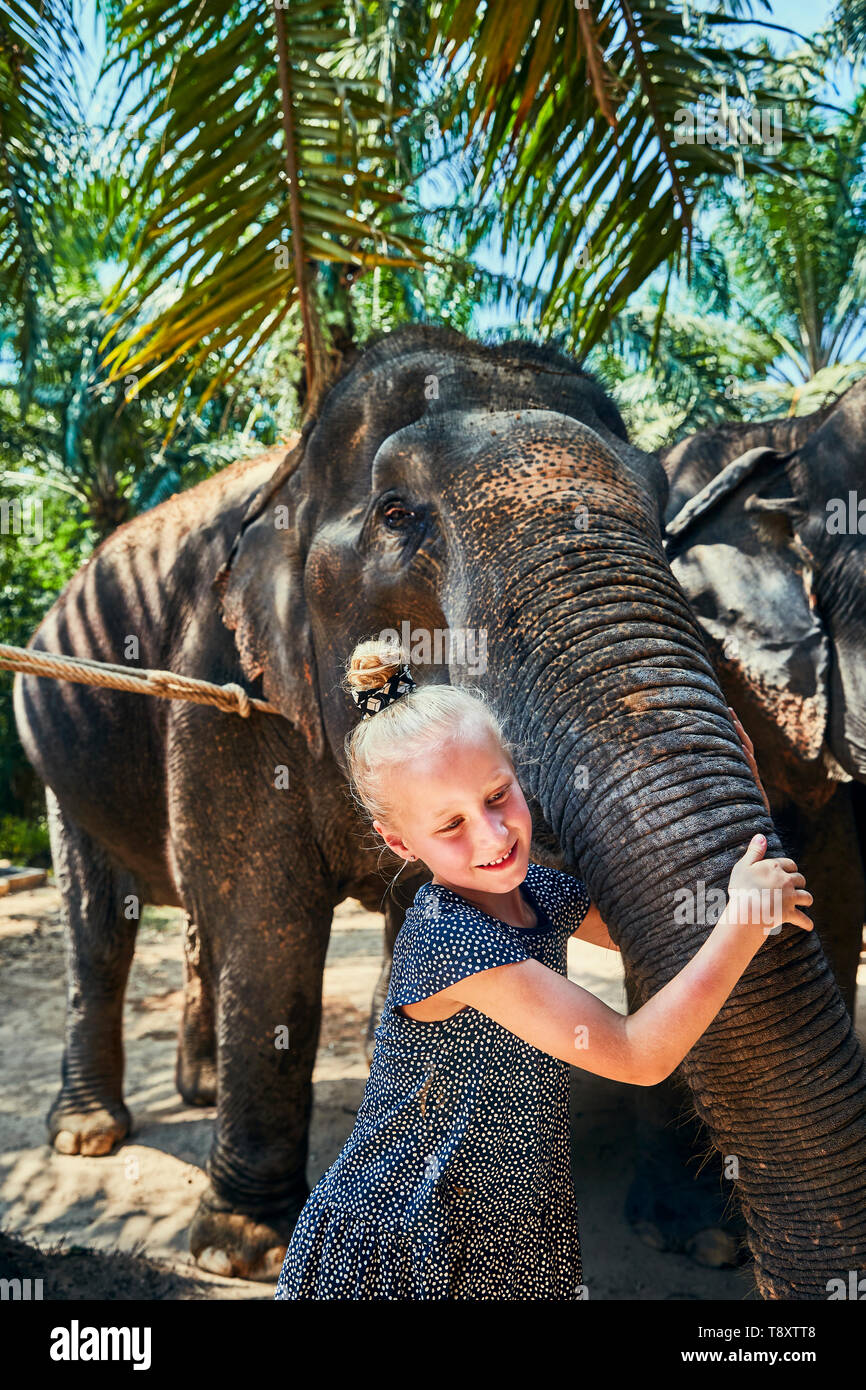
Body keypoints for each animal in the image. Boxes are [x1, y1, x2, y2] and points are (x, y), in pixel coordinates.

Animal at [13, 324, 866, 1296]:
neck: (292, 473)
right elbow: (263, 924)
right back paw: (89, 1133)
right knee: (103, 923)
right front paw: (242, 1248)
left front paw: (699, 1239)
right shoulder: (224, 683)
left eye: (661, 520)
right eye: (396, 514)